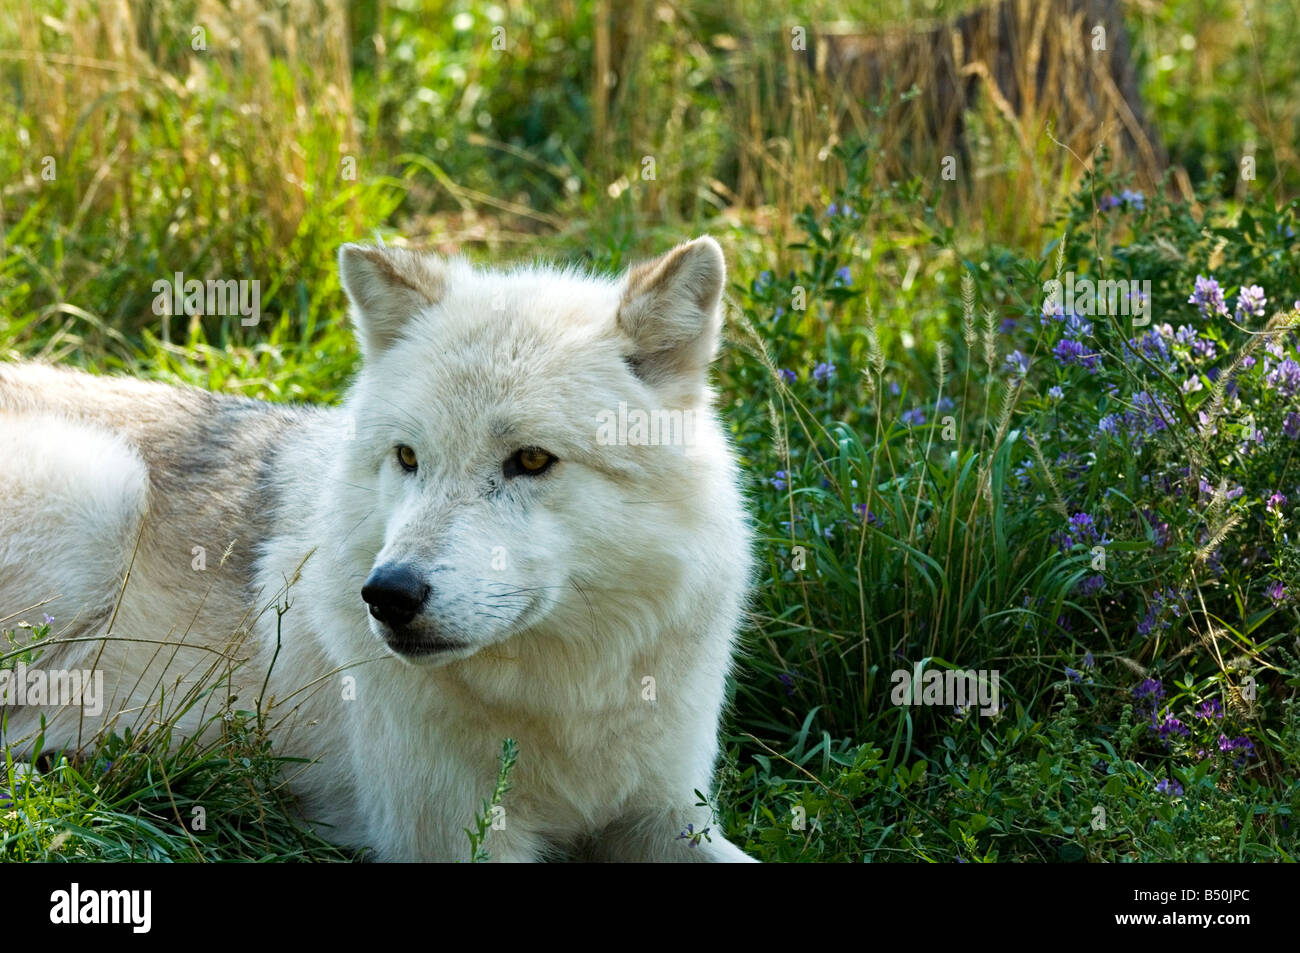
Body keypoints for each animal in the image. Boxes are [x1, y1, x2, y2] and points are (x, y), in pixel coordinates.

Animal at [0, 237, 756, 862]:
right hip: (97, 489)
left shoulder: (671, 813)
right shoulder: (451, 838)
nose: (388, 594)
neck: (562, 700)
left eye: (533, 459)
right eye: (408, 457)